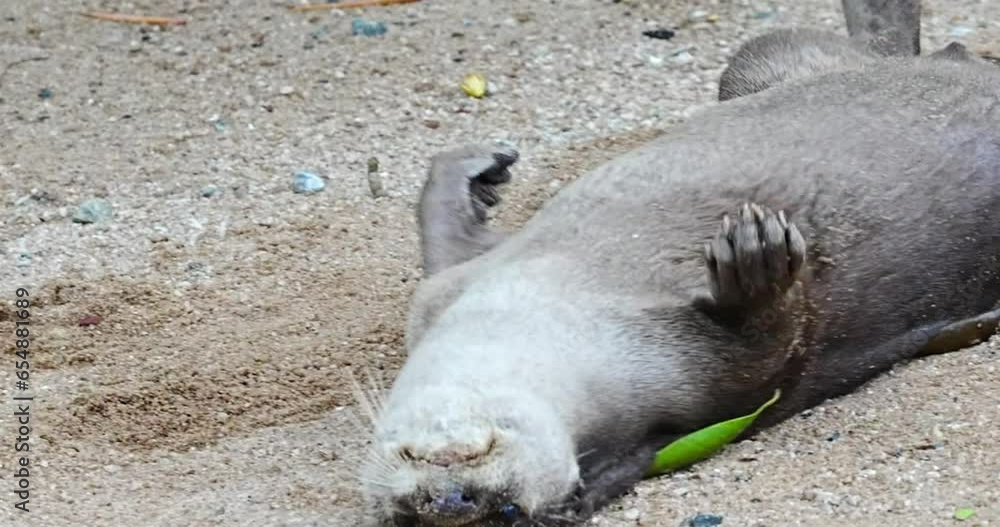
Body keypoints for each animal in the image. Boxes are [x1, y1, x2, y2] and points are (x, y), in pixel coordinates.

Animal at [359, 0, 1000, 525]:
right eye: (511, 513)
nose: (453, 501)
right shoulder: (698, 383)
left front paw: (470, 174)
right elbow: (777, 350)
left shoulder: (446, 289)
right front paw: (760, 267)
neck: (561, 301)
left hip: (763, 60)